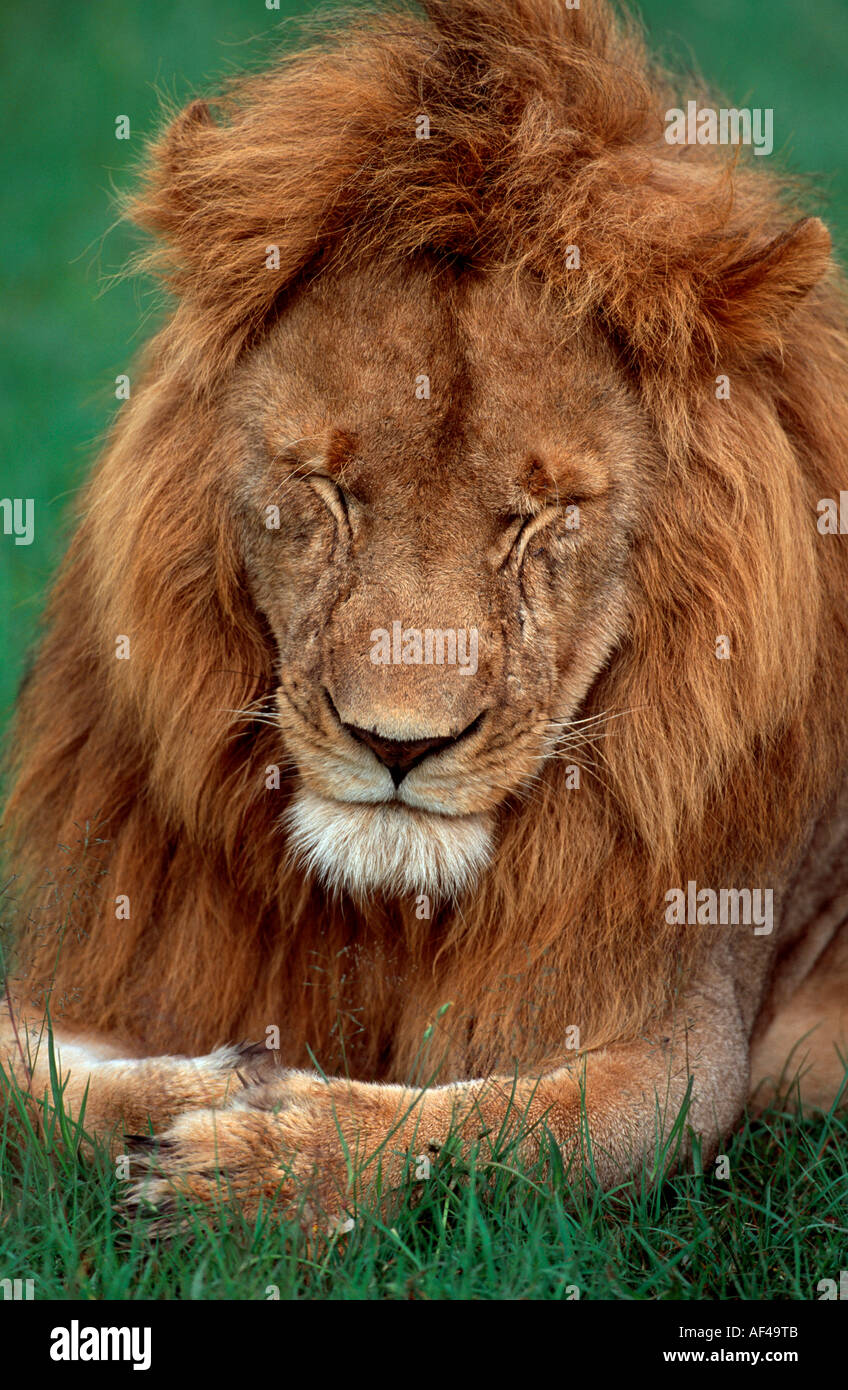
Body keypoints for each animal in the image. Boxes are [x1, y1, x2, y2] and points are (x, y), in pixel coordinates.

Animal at [3, 0, 848, 1228]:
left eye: (540, 516)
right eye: (327, 488)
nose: (396, 747)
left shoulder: (685, 1033)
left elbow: (516, 1130)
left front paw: (263, 1163)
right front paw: (180, 1095)